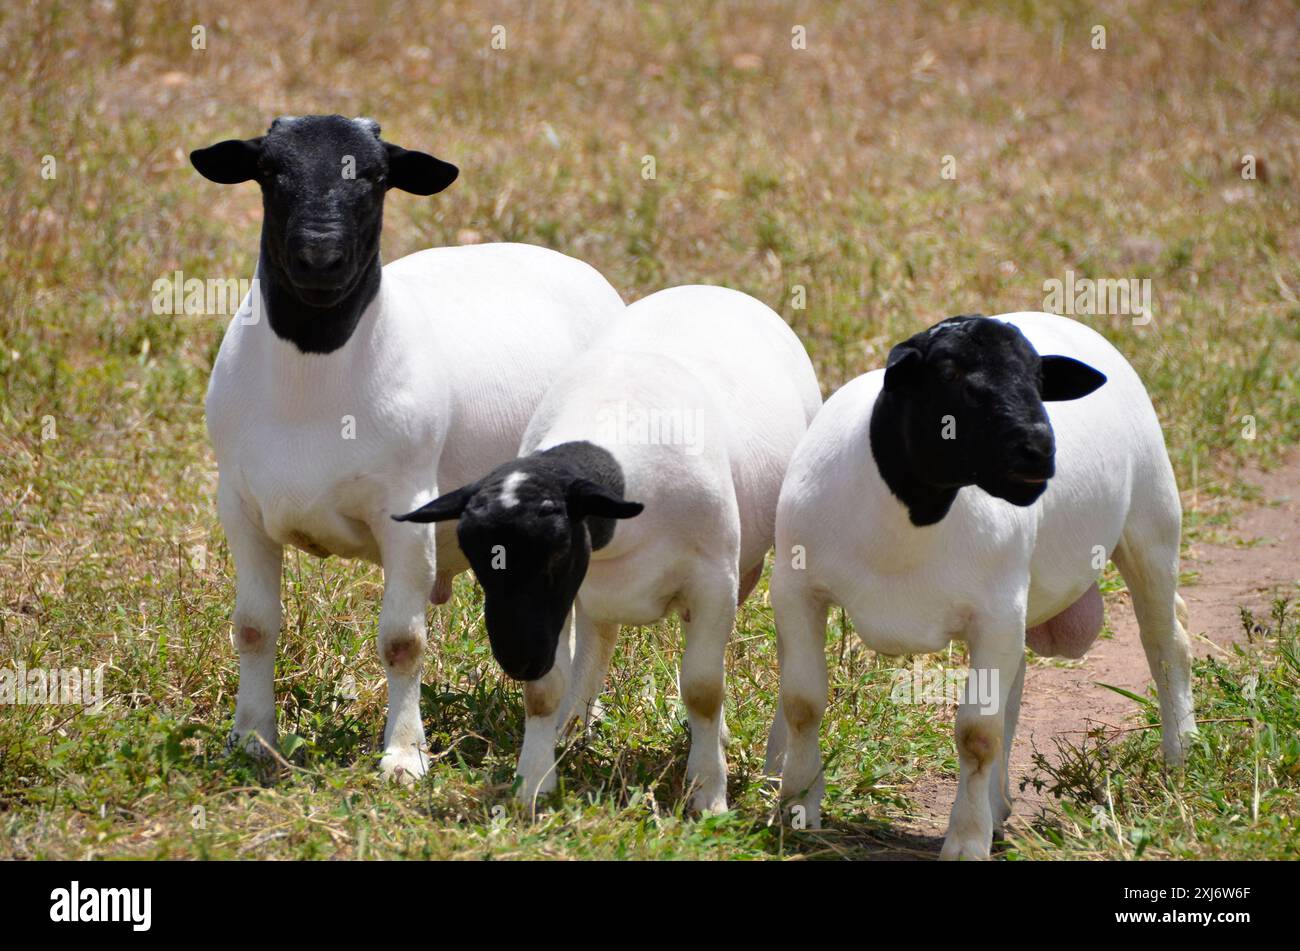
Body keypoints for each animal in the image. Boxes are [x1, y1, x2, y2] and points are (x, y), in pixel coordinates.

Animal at [192, 115, 624, 782]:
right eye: (270, 171)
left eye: (376, 177)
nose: (319, 257)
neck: (313, 384)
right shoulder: (239, 506)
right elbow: (254, 628)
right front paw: (251, 738)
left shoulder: (406, 510)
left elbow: (402, 641)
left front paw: (403, 755)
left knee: (596, 624)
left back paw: (577, 721)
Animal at [395, 285, 822, 810]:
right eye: (479, 562)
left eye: (556, 553)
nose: (518, 660)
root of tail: (712, 288)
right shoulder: (560, 605)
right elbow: (544, 691)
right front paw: (533, 784)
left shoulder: (712, 585)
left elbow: (703, 690)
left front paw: (708, 794)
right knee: (598, 640)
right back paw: (573, 728)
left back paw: (775, 763)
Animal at [764, 312, 1196, 859]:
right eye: (949, 374)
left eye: (1038, 378)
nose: (1039, 449)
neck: (911, 522)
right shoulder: (796, 591)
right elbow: (803, 703)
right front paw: (796, 808)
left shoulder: (993, 614)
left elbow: (976, 735)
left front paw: (966, 840)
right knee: (1016, 688)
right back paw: (999, 806)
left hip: (1152, 520)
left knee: (1166, 643)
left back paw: (1182, 756)